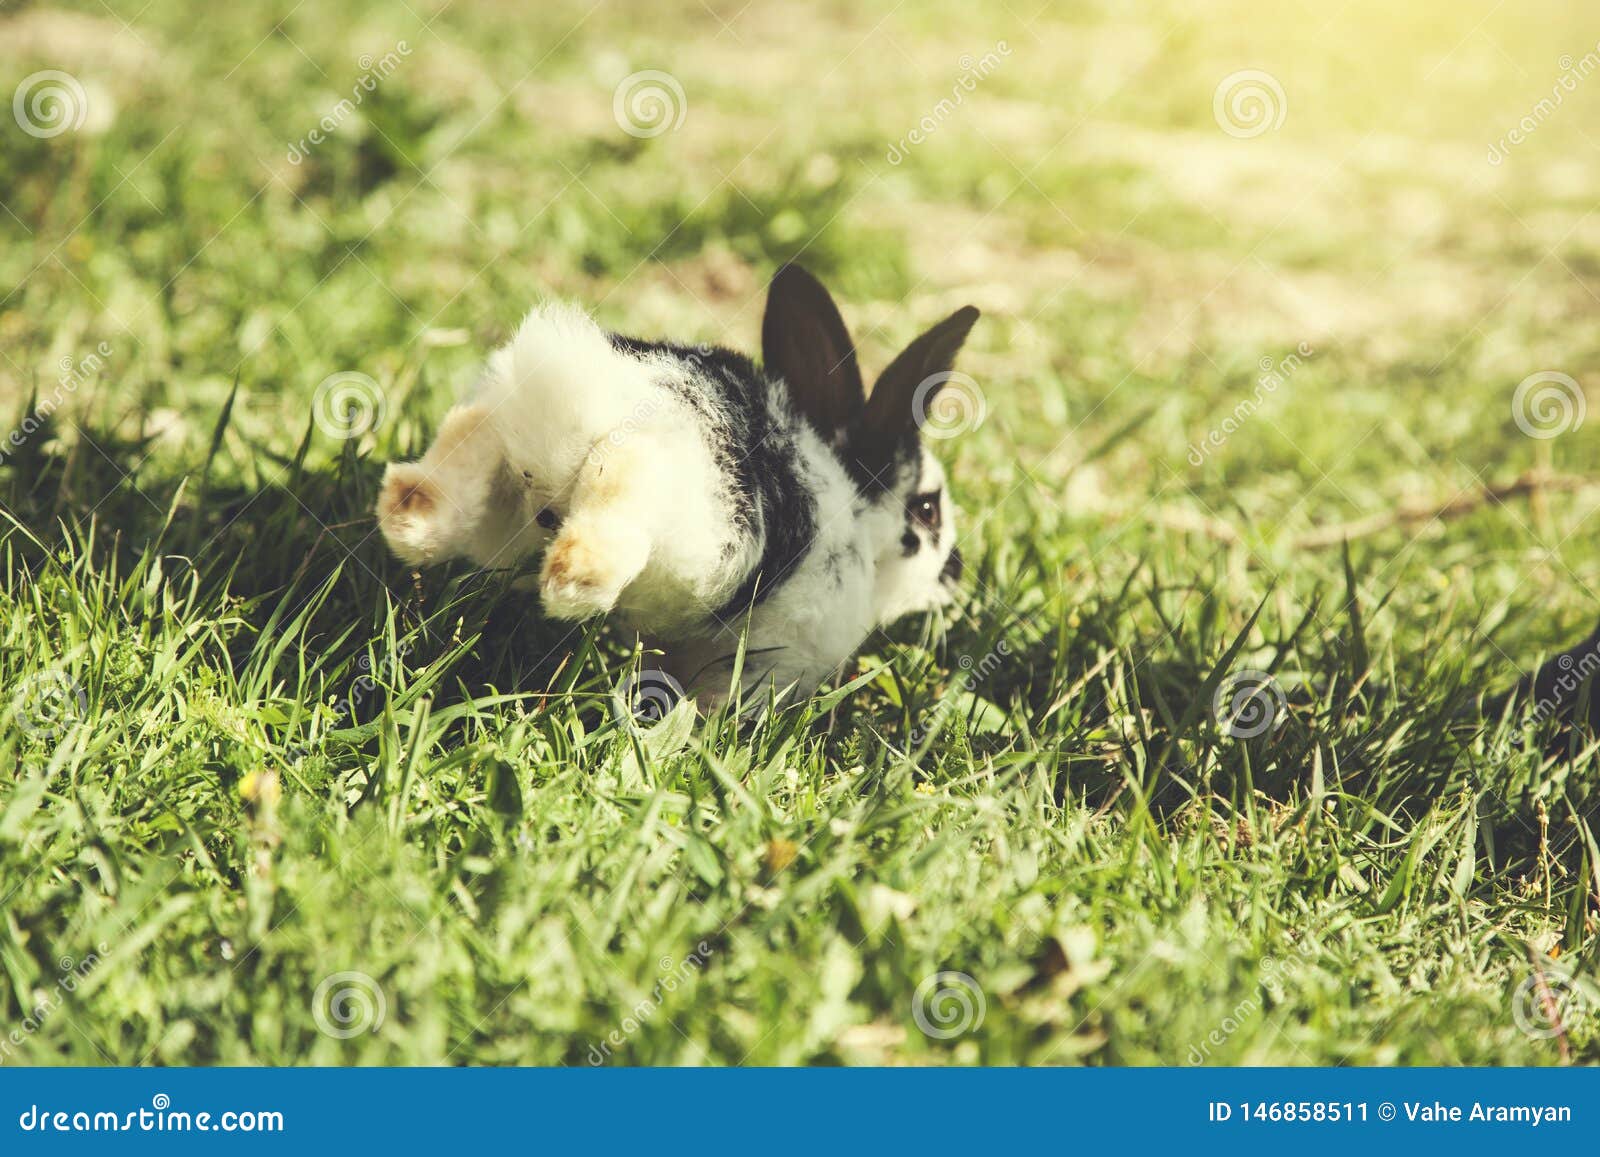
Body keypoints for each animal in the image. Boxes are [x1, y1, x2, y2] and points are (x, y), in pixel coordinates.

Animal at [375, 264, 977, 713]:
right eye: (928, 510)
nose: (956, 573)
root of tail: (583, 384)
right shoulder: (776, 657)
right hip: (665, 493)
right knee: (620, 479)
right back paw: (576, 581)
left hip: (499, 464)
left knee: (466, 438)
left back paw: (408, 519)